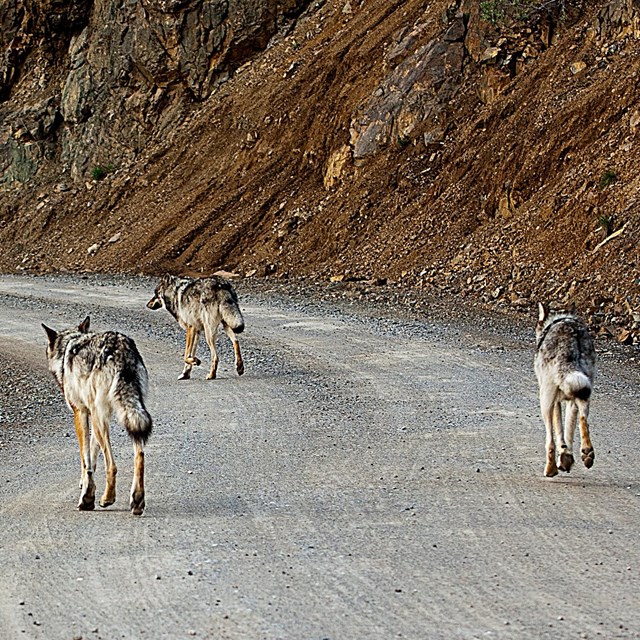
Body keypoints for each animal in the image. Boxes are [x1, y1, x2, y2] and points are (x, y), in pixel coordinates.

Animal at [42, 317, 152, 515]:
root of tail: (120, 346)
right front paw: (86, 487)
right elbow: (92, 459)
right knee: (140, 454)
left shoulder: (81, 413)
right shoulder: (96, 416)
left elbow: (85, 460)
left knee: (112, 465)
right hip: (127, 416)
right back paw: (137, 501)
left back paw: (107, 499)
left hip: (101, 418)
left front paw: (86, 497)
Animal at [534, 302, 596, 477]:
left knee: (550, 442)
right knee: (583, 419)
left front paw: (563, 460)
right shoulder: (570, 401)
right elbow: (567, 432)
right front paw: (566, 458)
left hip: (544, 401)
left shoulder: (555, 402)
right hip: (583, 389)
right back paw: (587, 453)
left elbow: (558, 432)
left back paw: (550, 469)